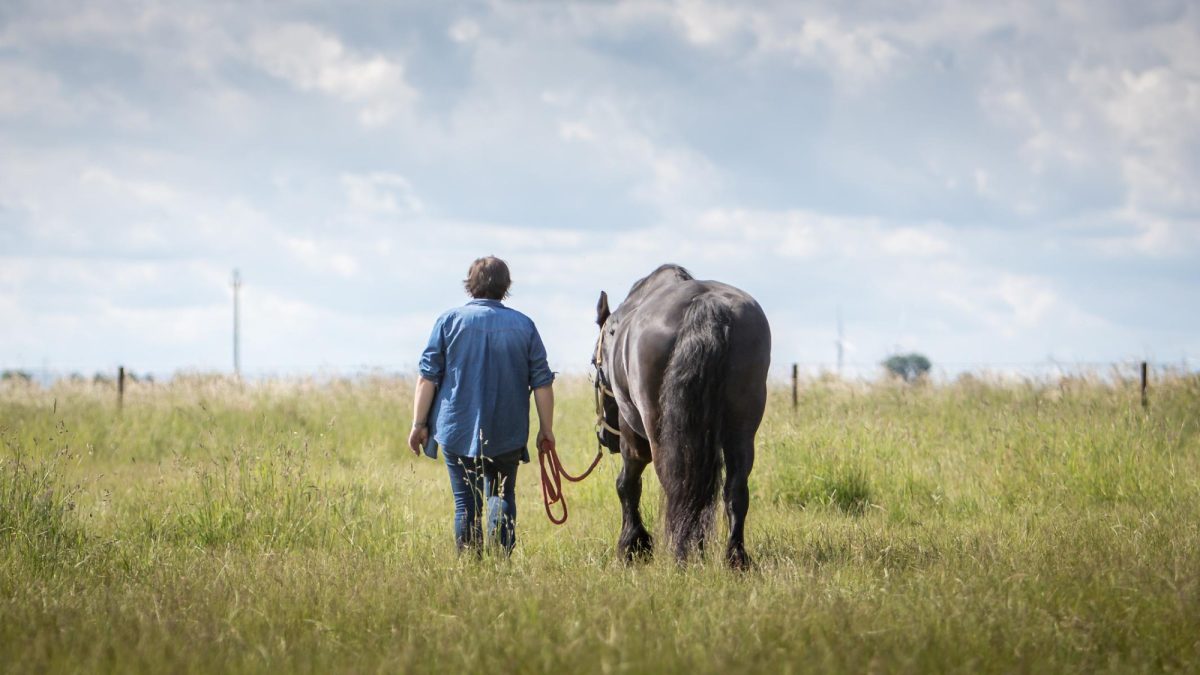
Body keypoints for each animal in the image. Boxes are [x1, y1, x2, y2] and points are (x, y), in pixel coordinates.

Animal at [592, 264, 771, 568]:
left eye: (594, 364)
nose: (605, 437)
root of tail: (707, 306)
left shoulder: (632, 436)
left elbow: (627, 485)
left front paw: (633, 544)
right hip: (741, 431)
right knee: (734, 490)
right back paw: (734, 557)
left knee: (676, 483)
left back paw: (682, 554)